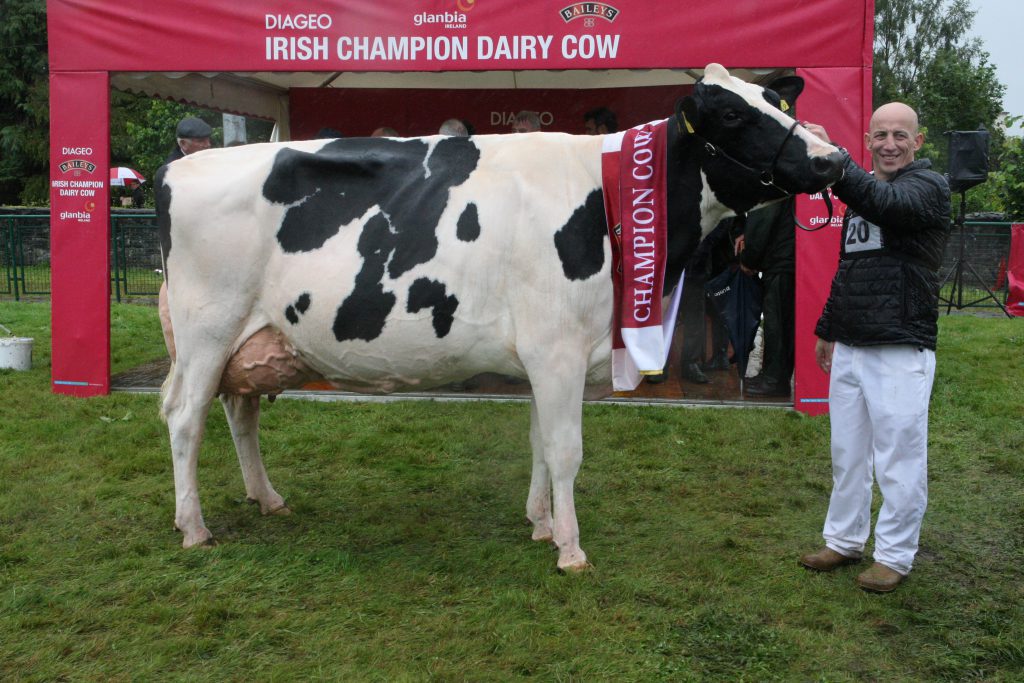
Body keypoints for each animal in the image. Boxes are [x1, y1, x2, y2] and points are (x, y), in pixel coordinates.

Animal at [157, 64, 844, 571]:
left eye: (774, 100)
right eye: (732, 114)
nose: (832, 160)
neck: (610, 200)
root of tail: (179, 165)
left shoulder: (546, 354)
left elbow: (540, 442)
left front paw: (542, 525)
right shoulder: (558, 350)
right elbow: (565, 449)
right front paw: (572, 550)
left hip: (250, 339)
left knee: (238, 413)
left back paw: (267, 498)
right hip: (207, 329)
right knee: (186, 418)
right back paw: (193, 528)